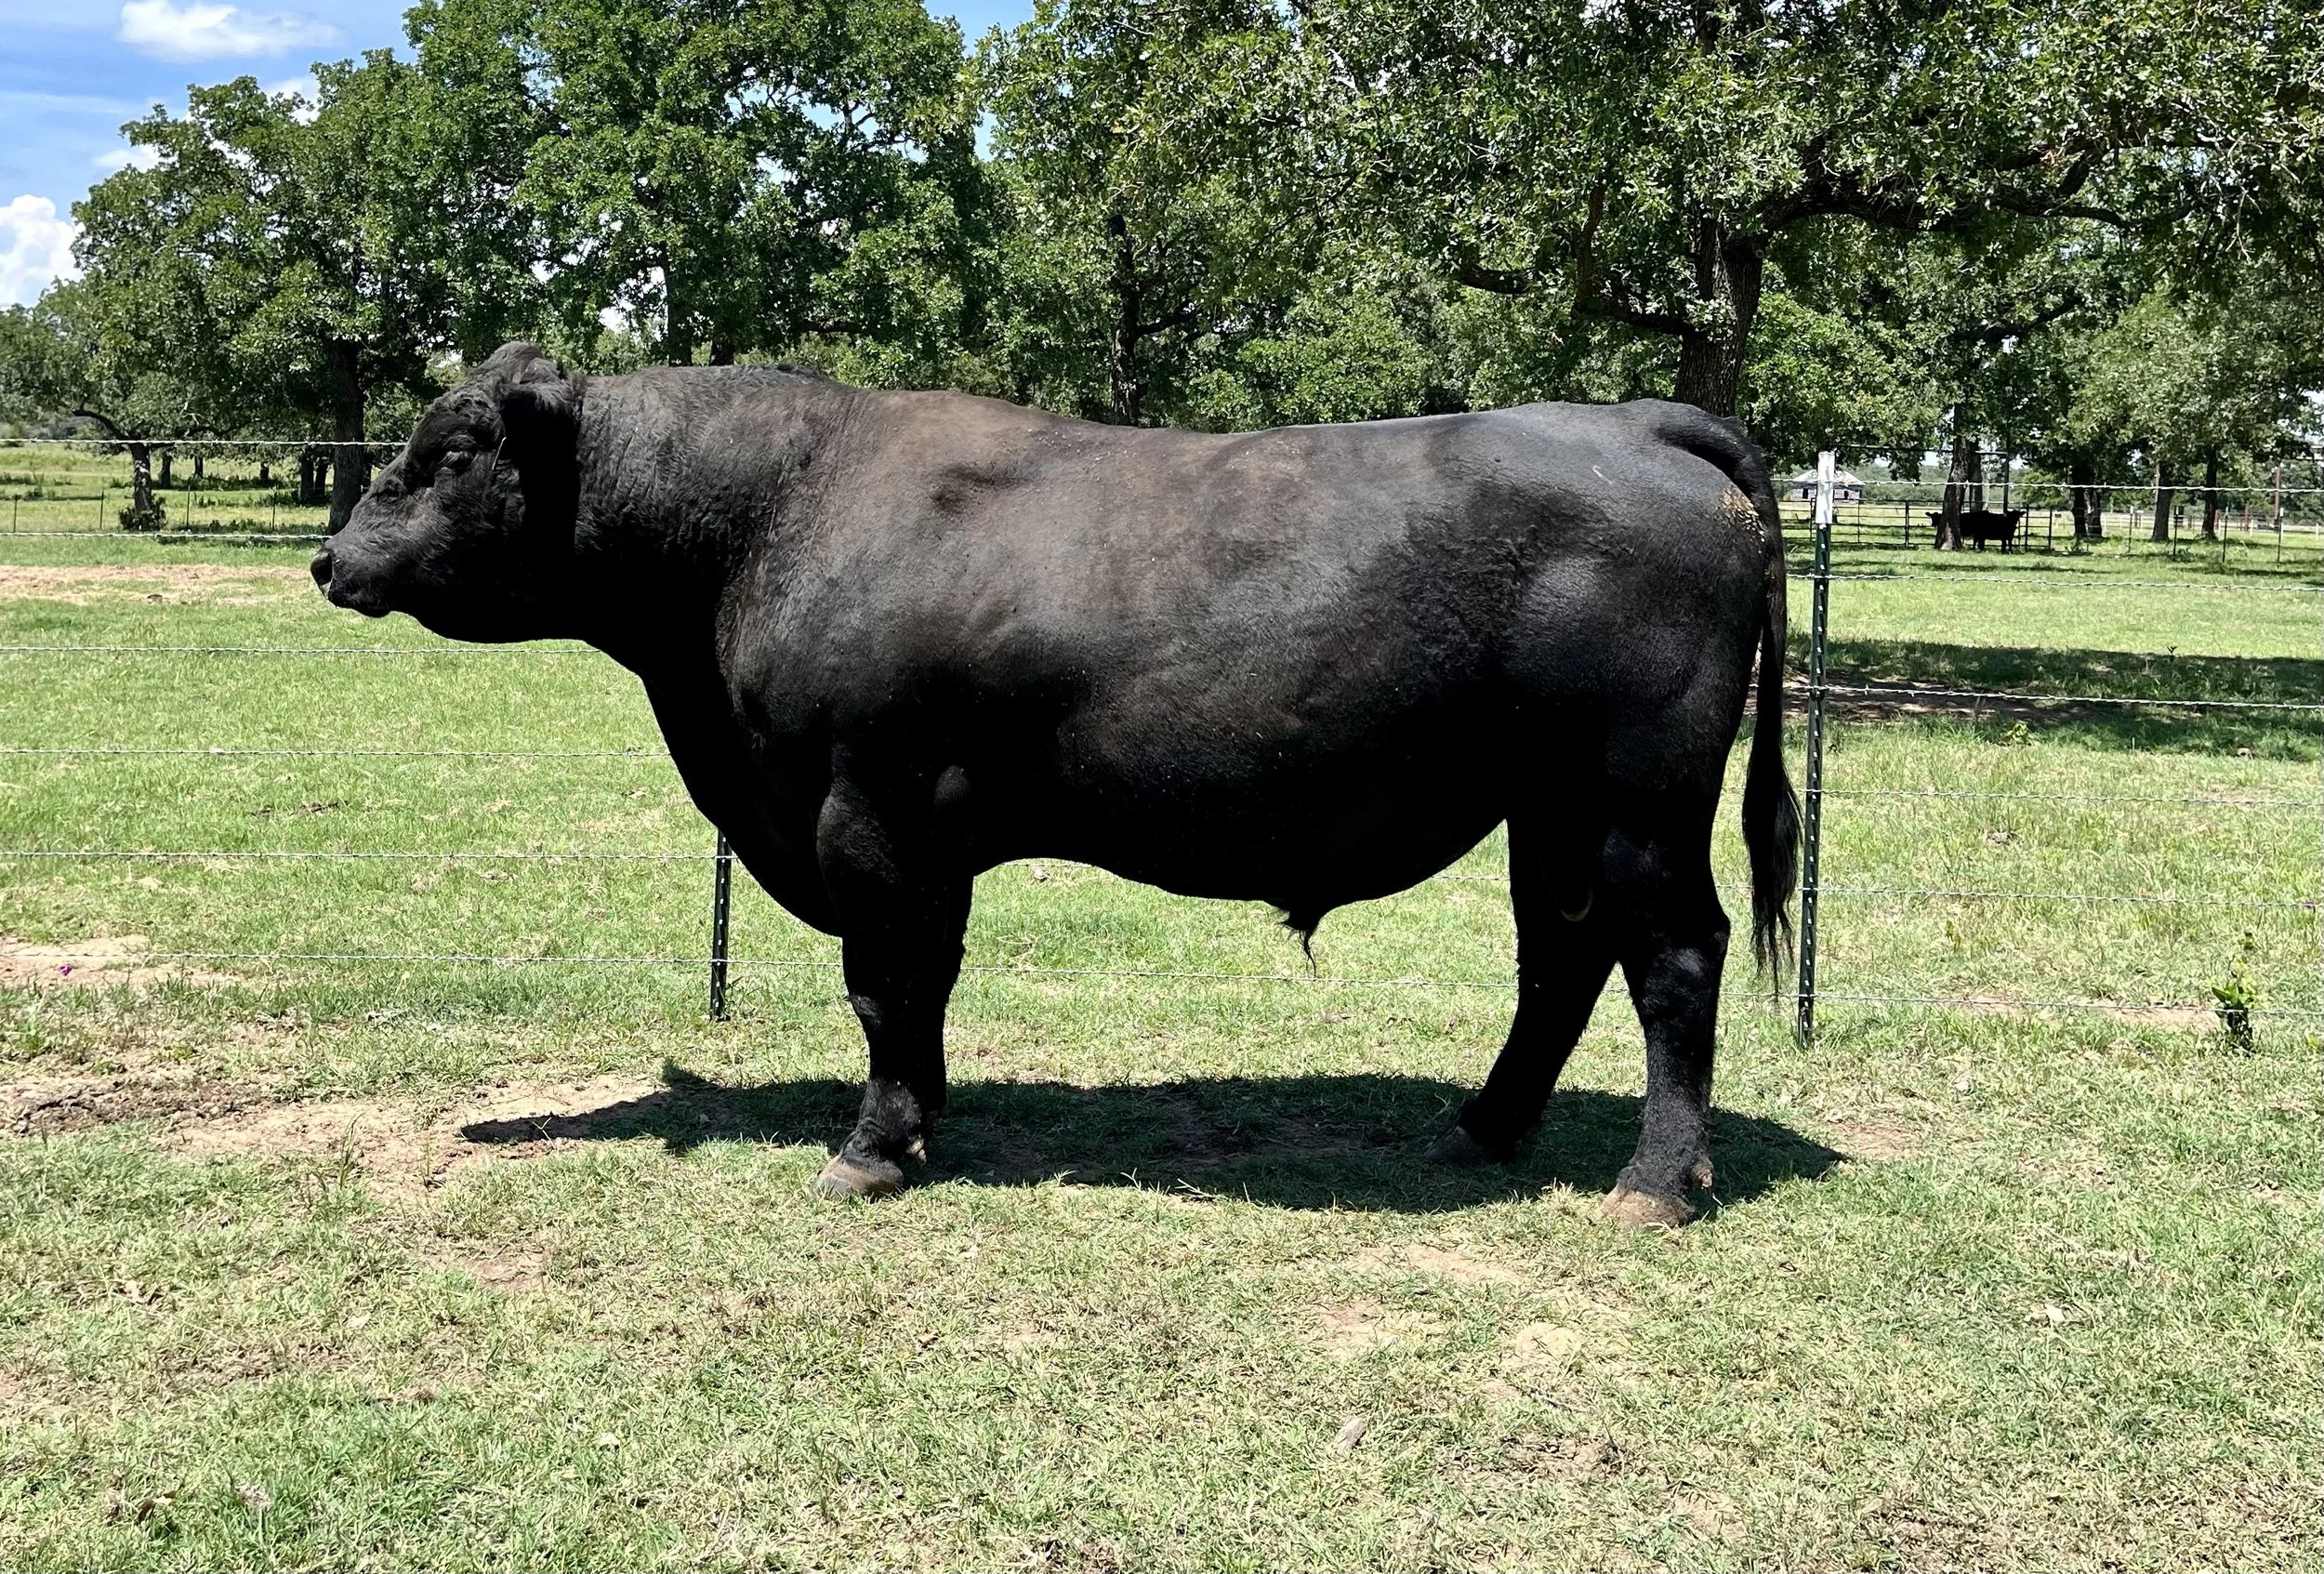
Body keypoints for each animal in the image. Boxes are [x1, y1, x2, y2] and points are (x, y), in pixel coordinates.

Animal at [312, 342, 1799, 1227]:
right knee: (1559, 961)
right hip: (1547, 808)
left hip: (1639, 802)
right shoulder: (927, 832)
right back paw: (1482, 1131)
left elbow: (880, 979)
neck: (766, 519)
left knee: (1674, 960)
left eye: (452, 456)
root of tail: (1638, 422)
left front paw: (870, 1148)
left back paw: (1655, 1182)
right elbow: (926, 978)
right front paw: (925, 1118)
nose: (330, 558)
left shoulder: (864, 806)